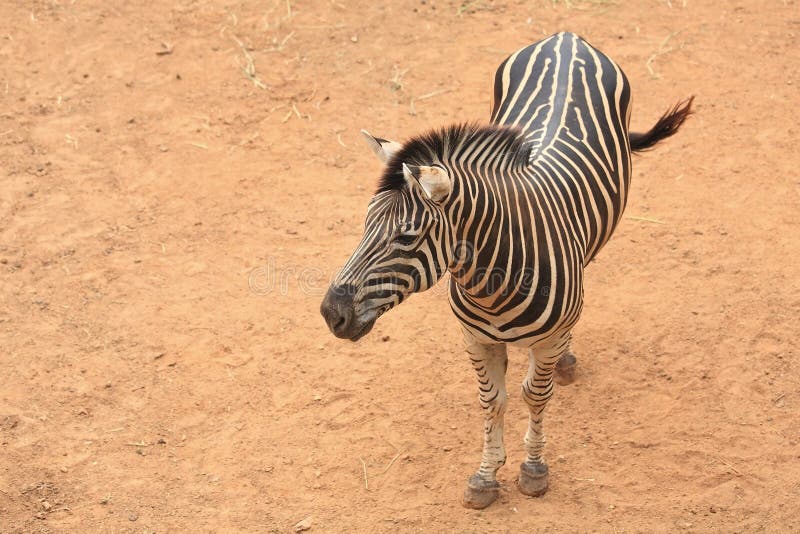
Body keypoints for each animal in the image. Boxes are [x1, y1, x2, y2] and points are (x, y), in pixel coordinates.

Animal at [320, 32, 692, 509]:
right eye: (365, 223)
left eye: (406, 237)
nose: (331, 313)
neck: (490, 282)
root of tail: (567, 37)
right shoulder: (475, 338)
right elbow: (492, 400)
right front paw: (485, 476)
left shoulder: (545, 339)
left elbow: (534, 394)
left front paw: (533, 469)